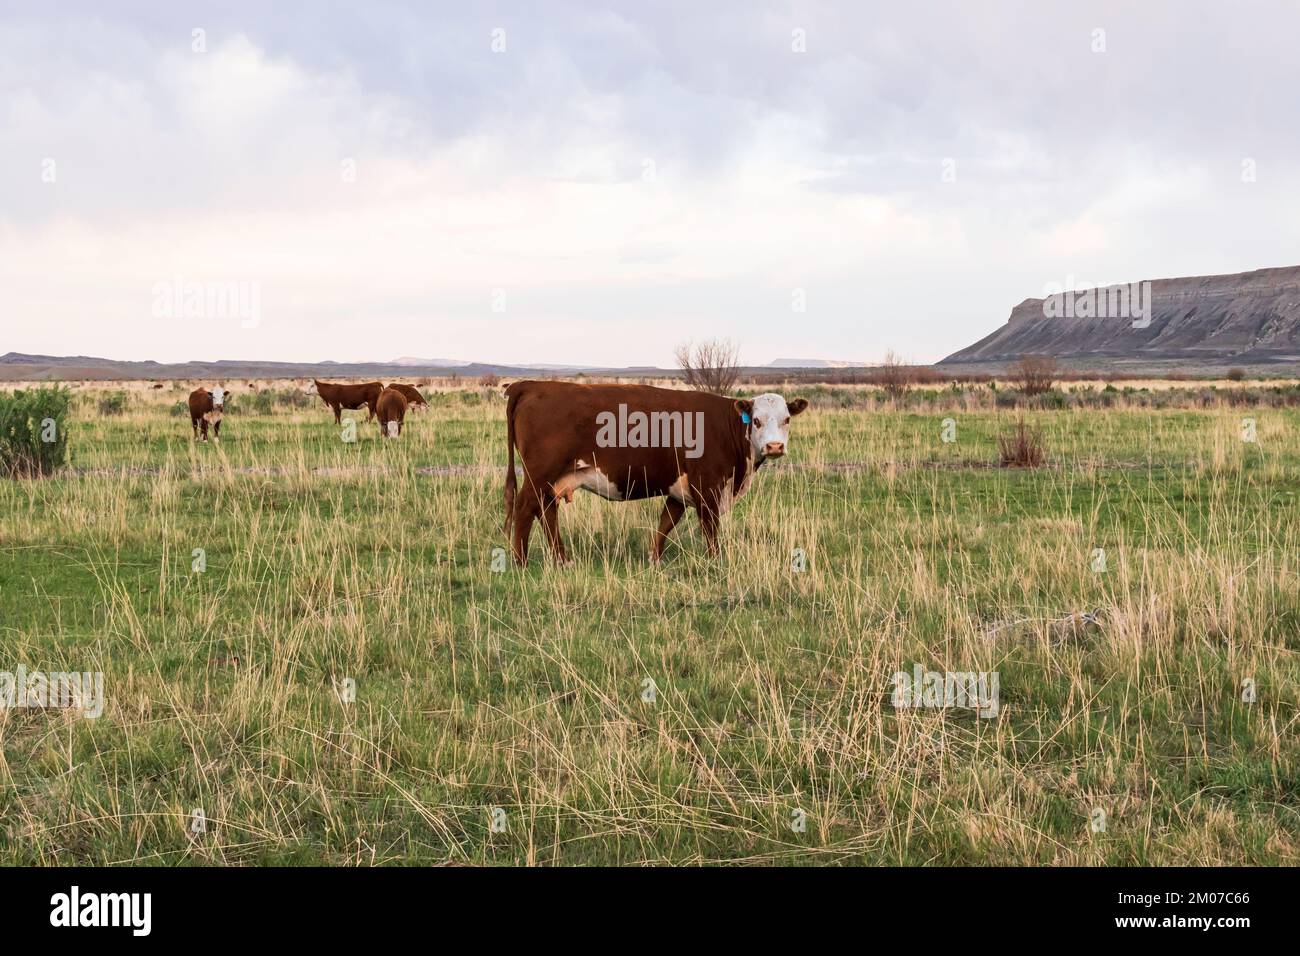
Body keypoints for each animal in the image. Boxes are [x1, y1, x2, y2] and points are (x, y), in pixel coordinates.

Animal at [502, 381, 809, 565]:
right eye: (756, 421)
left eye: (787, 419)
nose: (774, 446)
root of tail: (530, 385)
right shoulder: (707, 488)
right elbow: (710, 529)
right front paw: (715, 561)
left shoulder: (679, 489)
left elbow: (666, 522)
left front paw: (654, 559)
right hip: (540, 473)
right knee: (526, 507)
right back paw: (520, 561)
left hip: (555, 478)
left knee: (546, 511)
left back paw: (562, 559)